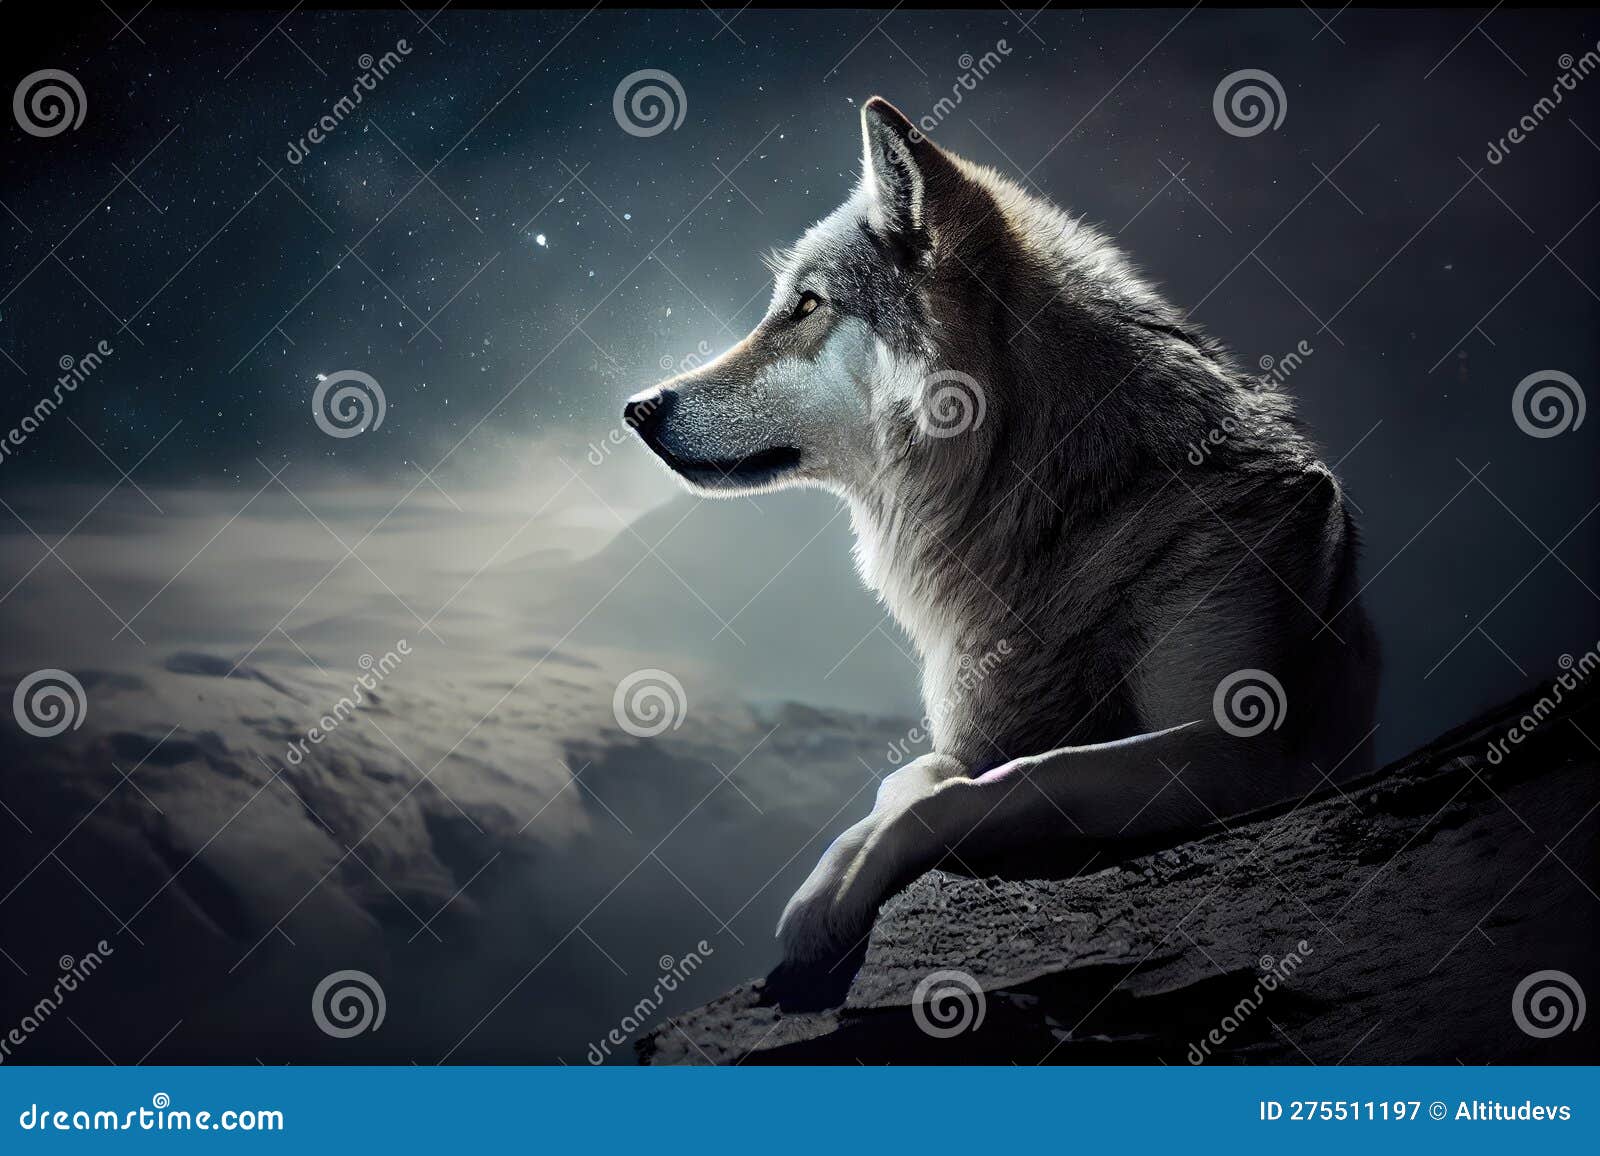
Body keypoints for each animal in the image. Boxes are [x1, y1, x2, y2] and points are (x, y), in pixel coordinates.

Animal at [626, 97, 1378, 985]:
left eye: (806, 305)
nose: (637, 407)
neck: (1066, 516)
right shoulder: (966, 736)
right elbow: (909, 776)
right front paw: (834, 874)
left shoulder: (1258, 751)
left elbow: (1015, 777)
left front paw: (832, 898)